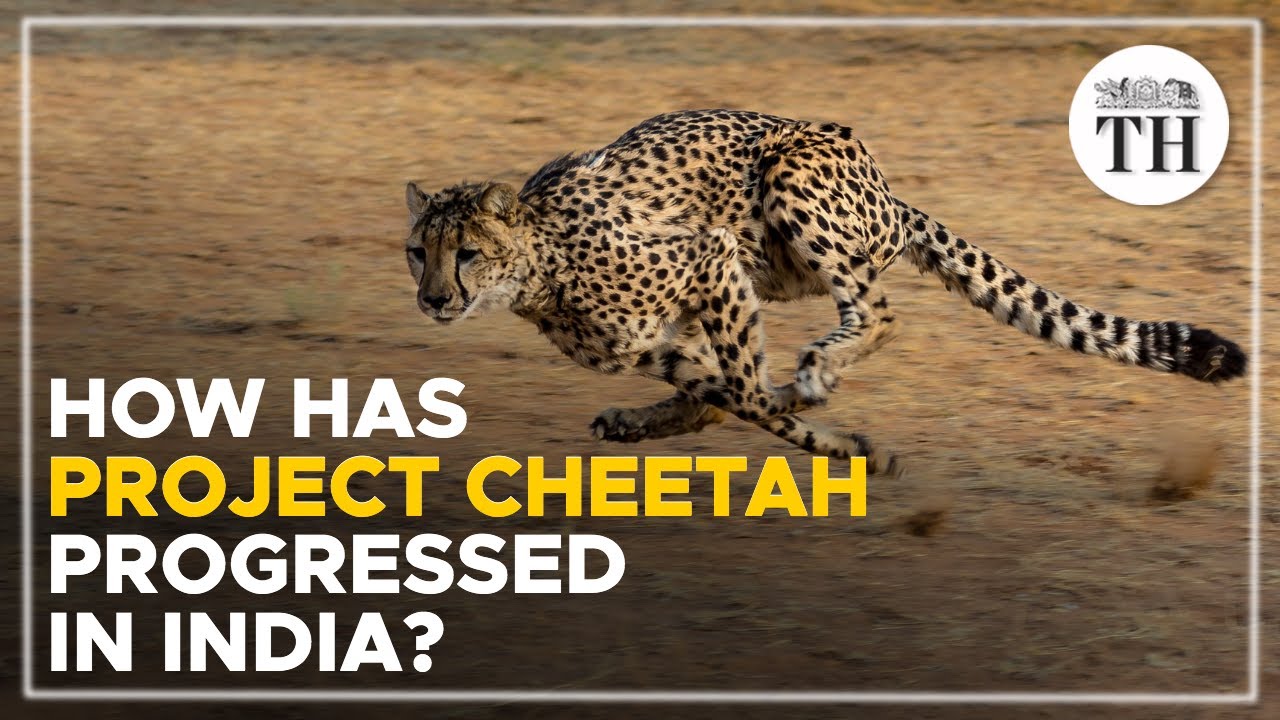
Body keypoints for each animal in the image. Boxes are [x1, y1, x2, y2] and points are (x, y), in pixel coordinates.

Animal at [404, 109, 1245, 476]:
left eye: (467, 253)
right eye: (419, 253)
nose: (434, 300)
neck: (539, 265)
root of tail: (888, 190)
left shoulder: (709, 257)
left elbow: (748, 394)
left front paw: (841, 437)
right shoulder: (655, 341)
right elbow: (727, 397)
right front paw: (842, 442)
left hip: (790, 184)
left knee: (878, 311)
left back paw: (817, 369)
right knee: (727, 390)